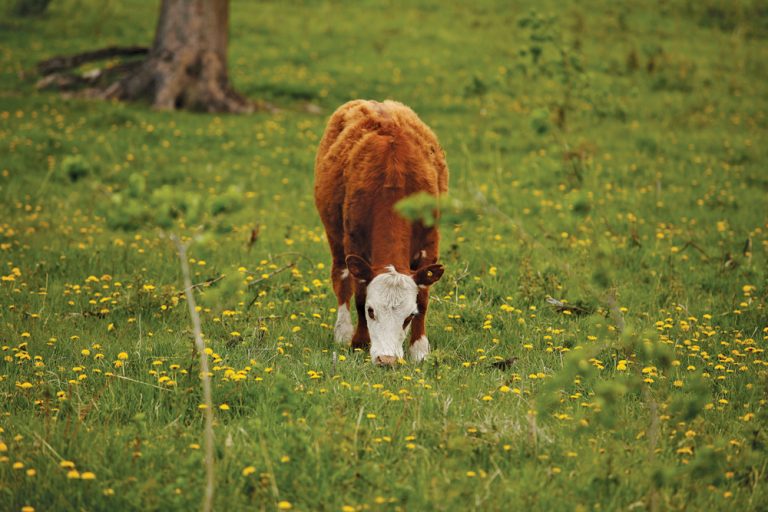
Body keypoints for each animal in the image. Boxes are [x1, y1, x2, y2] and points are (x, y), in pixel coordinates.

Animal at [314, 100, 448, 365]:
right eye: (371, 311)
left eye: (409, 316)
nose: (387, 359)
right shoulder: (354, 243)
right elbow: (358, 294)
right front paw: (359, 342)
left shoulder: (430, 244)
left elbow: (424, 297)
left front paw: (419, 349)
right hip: (335, 235)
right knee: (341, 278)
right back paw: (342, 331)